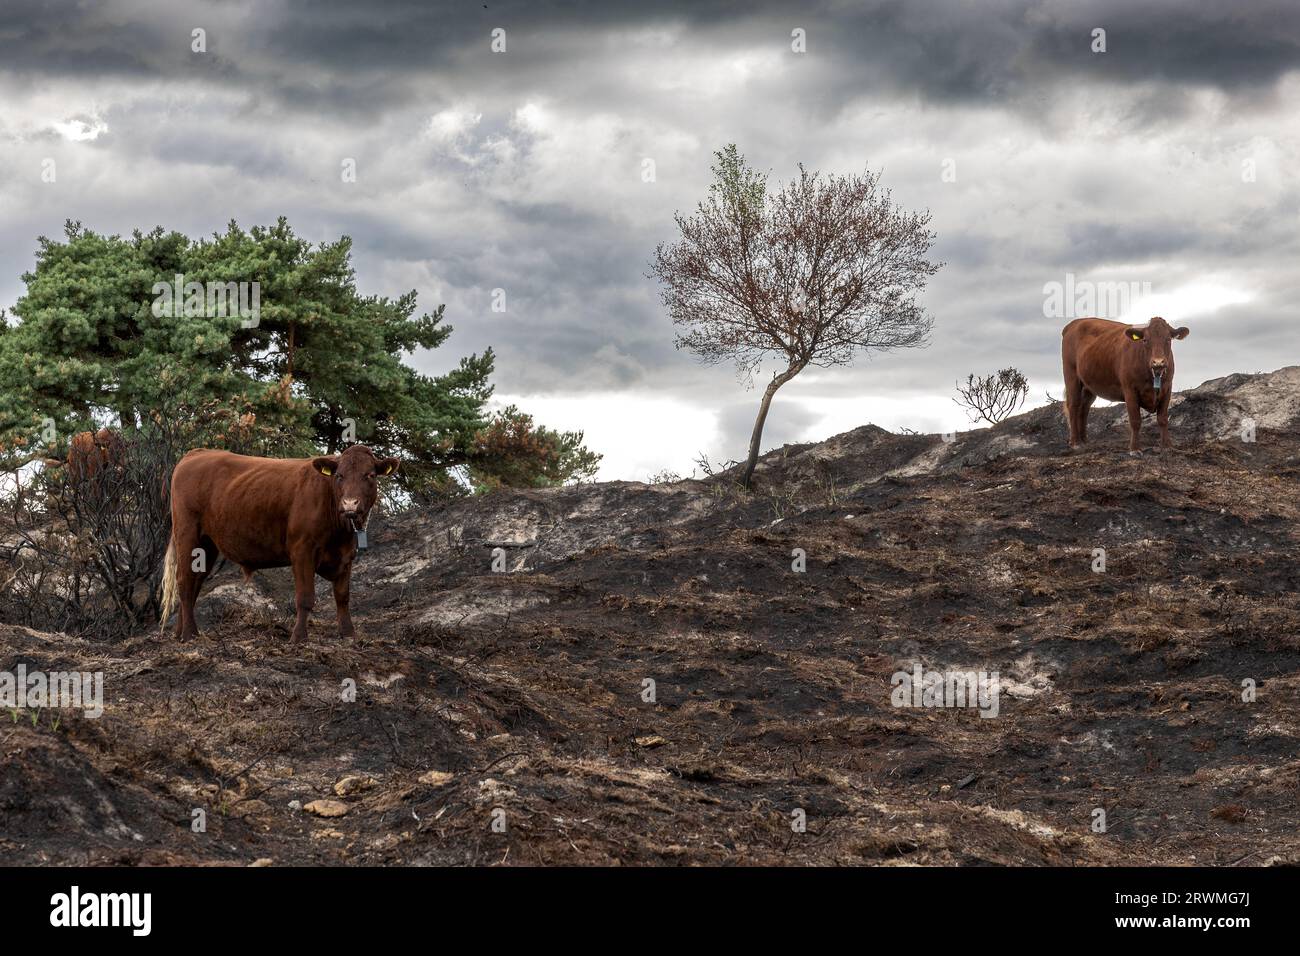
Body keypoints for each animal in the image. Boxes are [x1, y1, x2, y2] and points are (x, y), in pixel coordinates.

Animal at [160, 445, 399, 641]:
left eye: (370, 475)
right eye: (339, 476)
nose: (350, 504)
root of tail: (196, 453)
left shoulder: (346, 555)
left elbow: (342, 596)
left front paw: (348, 633)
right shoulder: (302, 550)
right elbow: (305, 597)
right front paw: (299, 637)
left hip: (207, 544)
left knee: (195, 582)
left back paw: (180, 632)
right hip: (188, 533)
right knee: (184, 580)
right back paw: (189, 633)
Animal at [1061, 316, 1189, 454]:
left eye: (1168, 339)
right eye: (1145, 340)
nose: (1158, 362)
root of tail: (1074, 323)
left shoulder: (1167, 388)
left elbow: (1163, 419)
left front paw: (1167, 446)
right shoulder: (1129, 390)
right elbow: (1135, 420)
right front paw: (1135, 449)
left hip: (1088, 385)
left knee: (1084, 408)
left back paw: (1084, 440)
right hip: (1071, 375)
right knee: (1073, 405)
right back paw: (1075, 442)